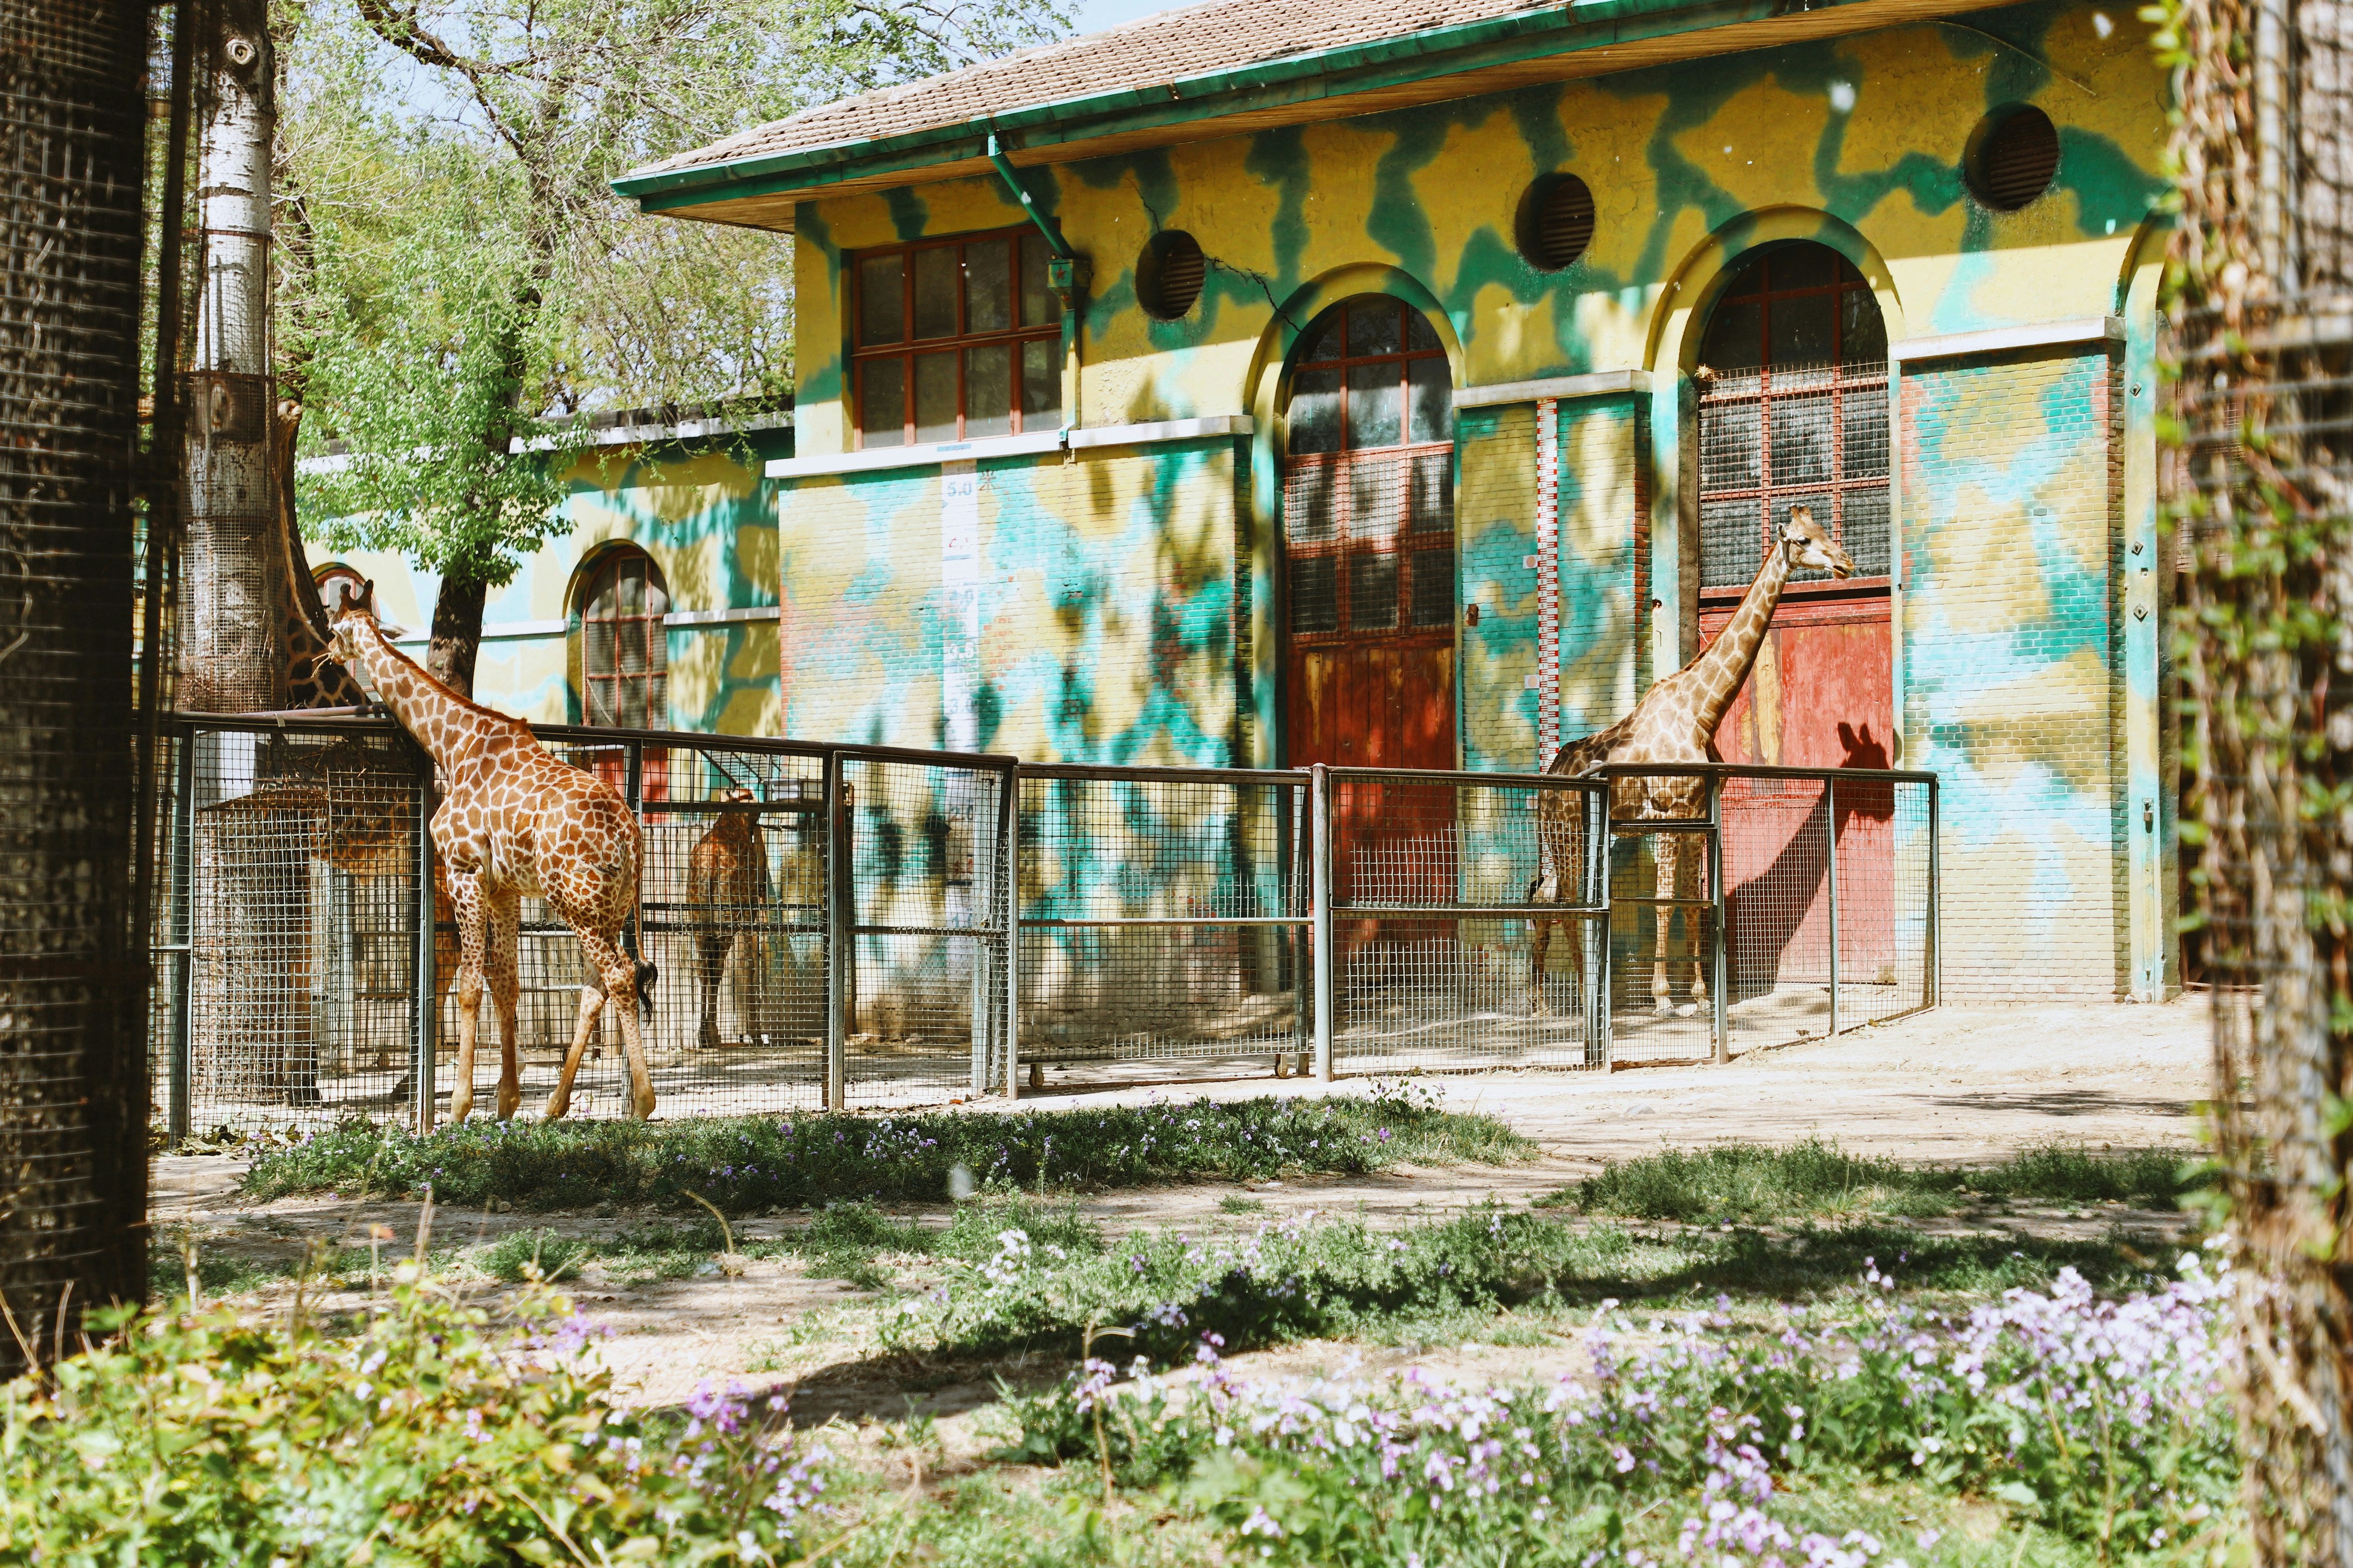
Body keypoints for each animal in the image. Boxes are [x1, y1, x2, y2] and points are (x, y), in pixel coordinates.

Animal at [325, 579, 660, 1121]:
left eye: (335, 626)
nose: (328, 655)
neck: (454, 748)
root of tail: (633, 837)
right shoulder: (504, 887)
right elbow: (506, 982)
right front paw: (505, 1102)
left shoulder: (463, 869)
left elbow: (469, 984)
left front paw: (460, 1107)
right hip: (607, 906)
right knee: (594, 986)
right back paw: (553, 1106)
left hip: (576, 901)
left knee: (620, 975)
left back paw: (643, 1104)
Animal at [688, 789, 773, 1049]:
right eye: (752, 795)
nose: (763, 803)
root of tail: (710, 866)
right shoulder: (749, 912)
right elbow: (750, 964)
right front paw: (755, 1034)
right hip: (727, 919)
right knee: (718, 968)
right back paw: (711, 1035)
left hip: (699, 921)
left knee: (703, 968)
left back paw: (705, 1036)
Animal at [1528, 506, 1855, 1016]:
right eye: (1803, 540)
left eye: (1825, 530)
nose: (1845, 564)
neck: (1704, 713)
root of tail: (1549, 777)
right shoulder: (1668, 814)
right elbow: (1663, 902)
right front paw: (1663, 998)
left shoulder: (1699, 816)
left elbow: (1693, 901)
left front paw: (1700, 997)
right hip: (1567, 833)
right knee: (1565, 901)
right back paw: (1573, 998)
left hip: (1565, 836)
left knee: (1548, 896)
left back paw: (1554, 1001)